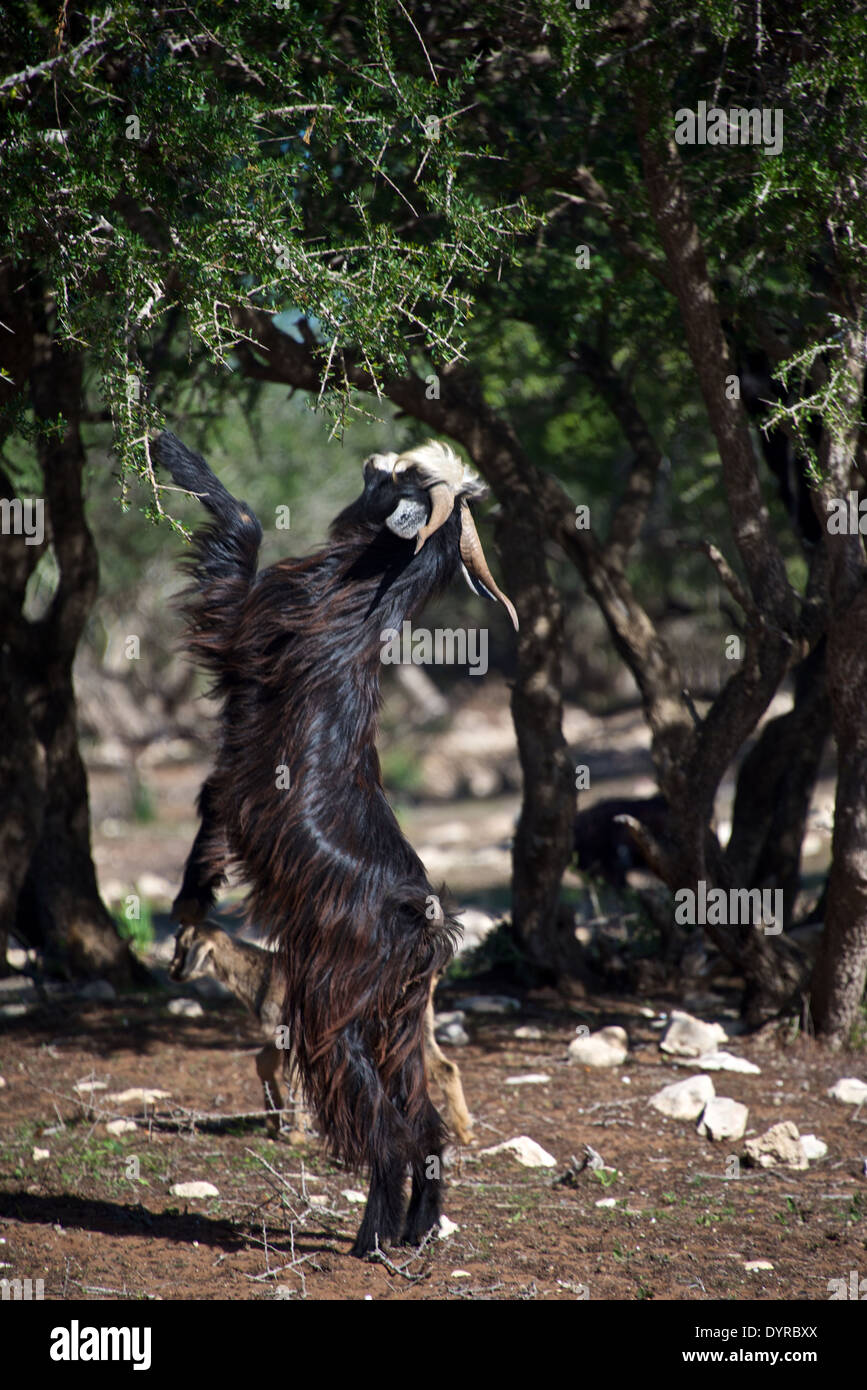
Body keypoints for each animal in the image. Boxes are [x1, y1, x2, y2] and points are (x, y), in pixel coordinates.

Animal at [169, 921, 473, 1144]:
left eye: (182, 947)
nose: (172, 971)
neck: (263, 978)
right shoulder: (282, 1037)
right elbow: (263, 1062)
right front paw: (275, 1122)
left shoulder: (293, 1036)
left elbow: (294, 1078)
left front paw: (296, 1134)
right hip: (418, 1028)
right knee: (443, 1068)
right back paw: (464, 1131)